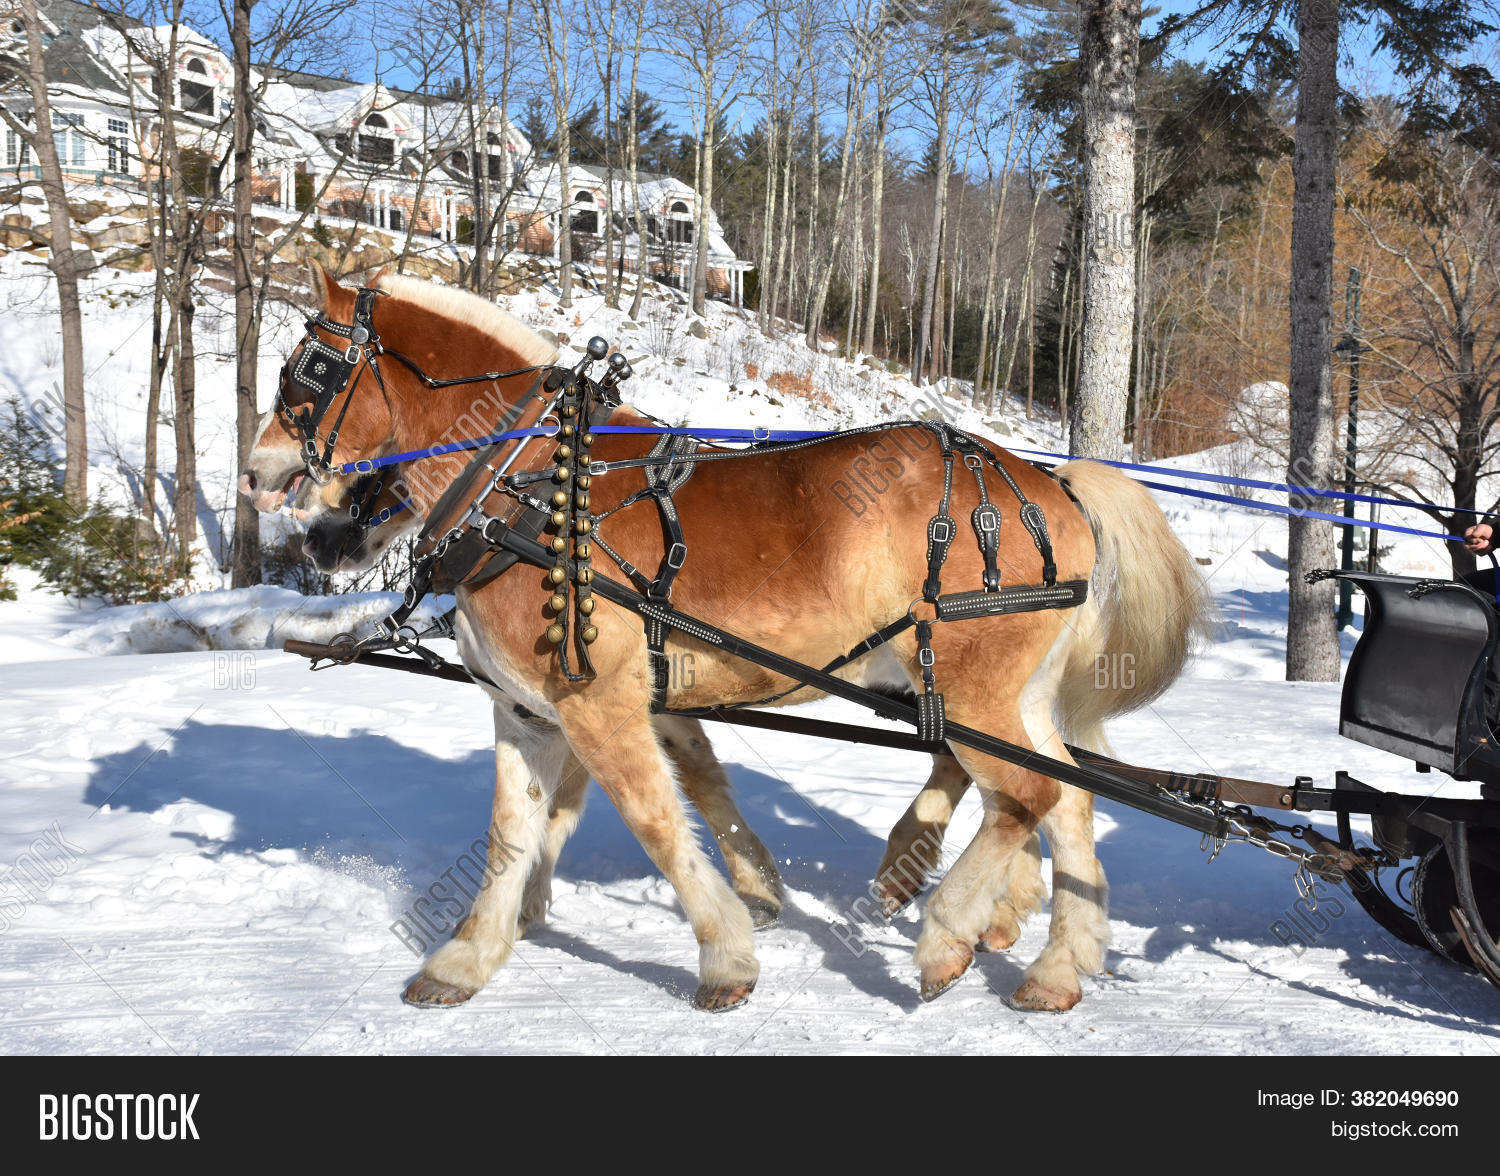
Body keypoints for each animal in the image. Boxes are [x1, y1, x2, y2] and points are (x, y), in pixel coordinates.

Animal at [242, 264, 1213, 1012]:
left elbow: (657, 820)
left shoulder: (597, 704)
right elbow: (516, 834)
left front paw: (726, 955)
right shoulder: (533, 714)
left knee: (1026, 796)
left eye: (304, 373)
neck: (530, 486)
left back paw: (944, 929)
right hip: (1015, 693)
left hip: (970, 691)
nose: (255, 474)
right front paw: (466, 958)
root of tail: (1049, 484)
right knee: (1070, 800)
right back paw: (1058, 967)